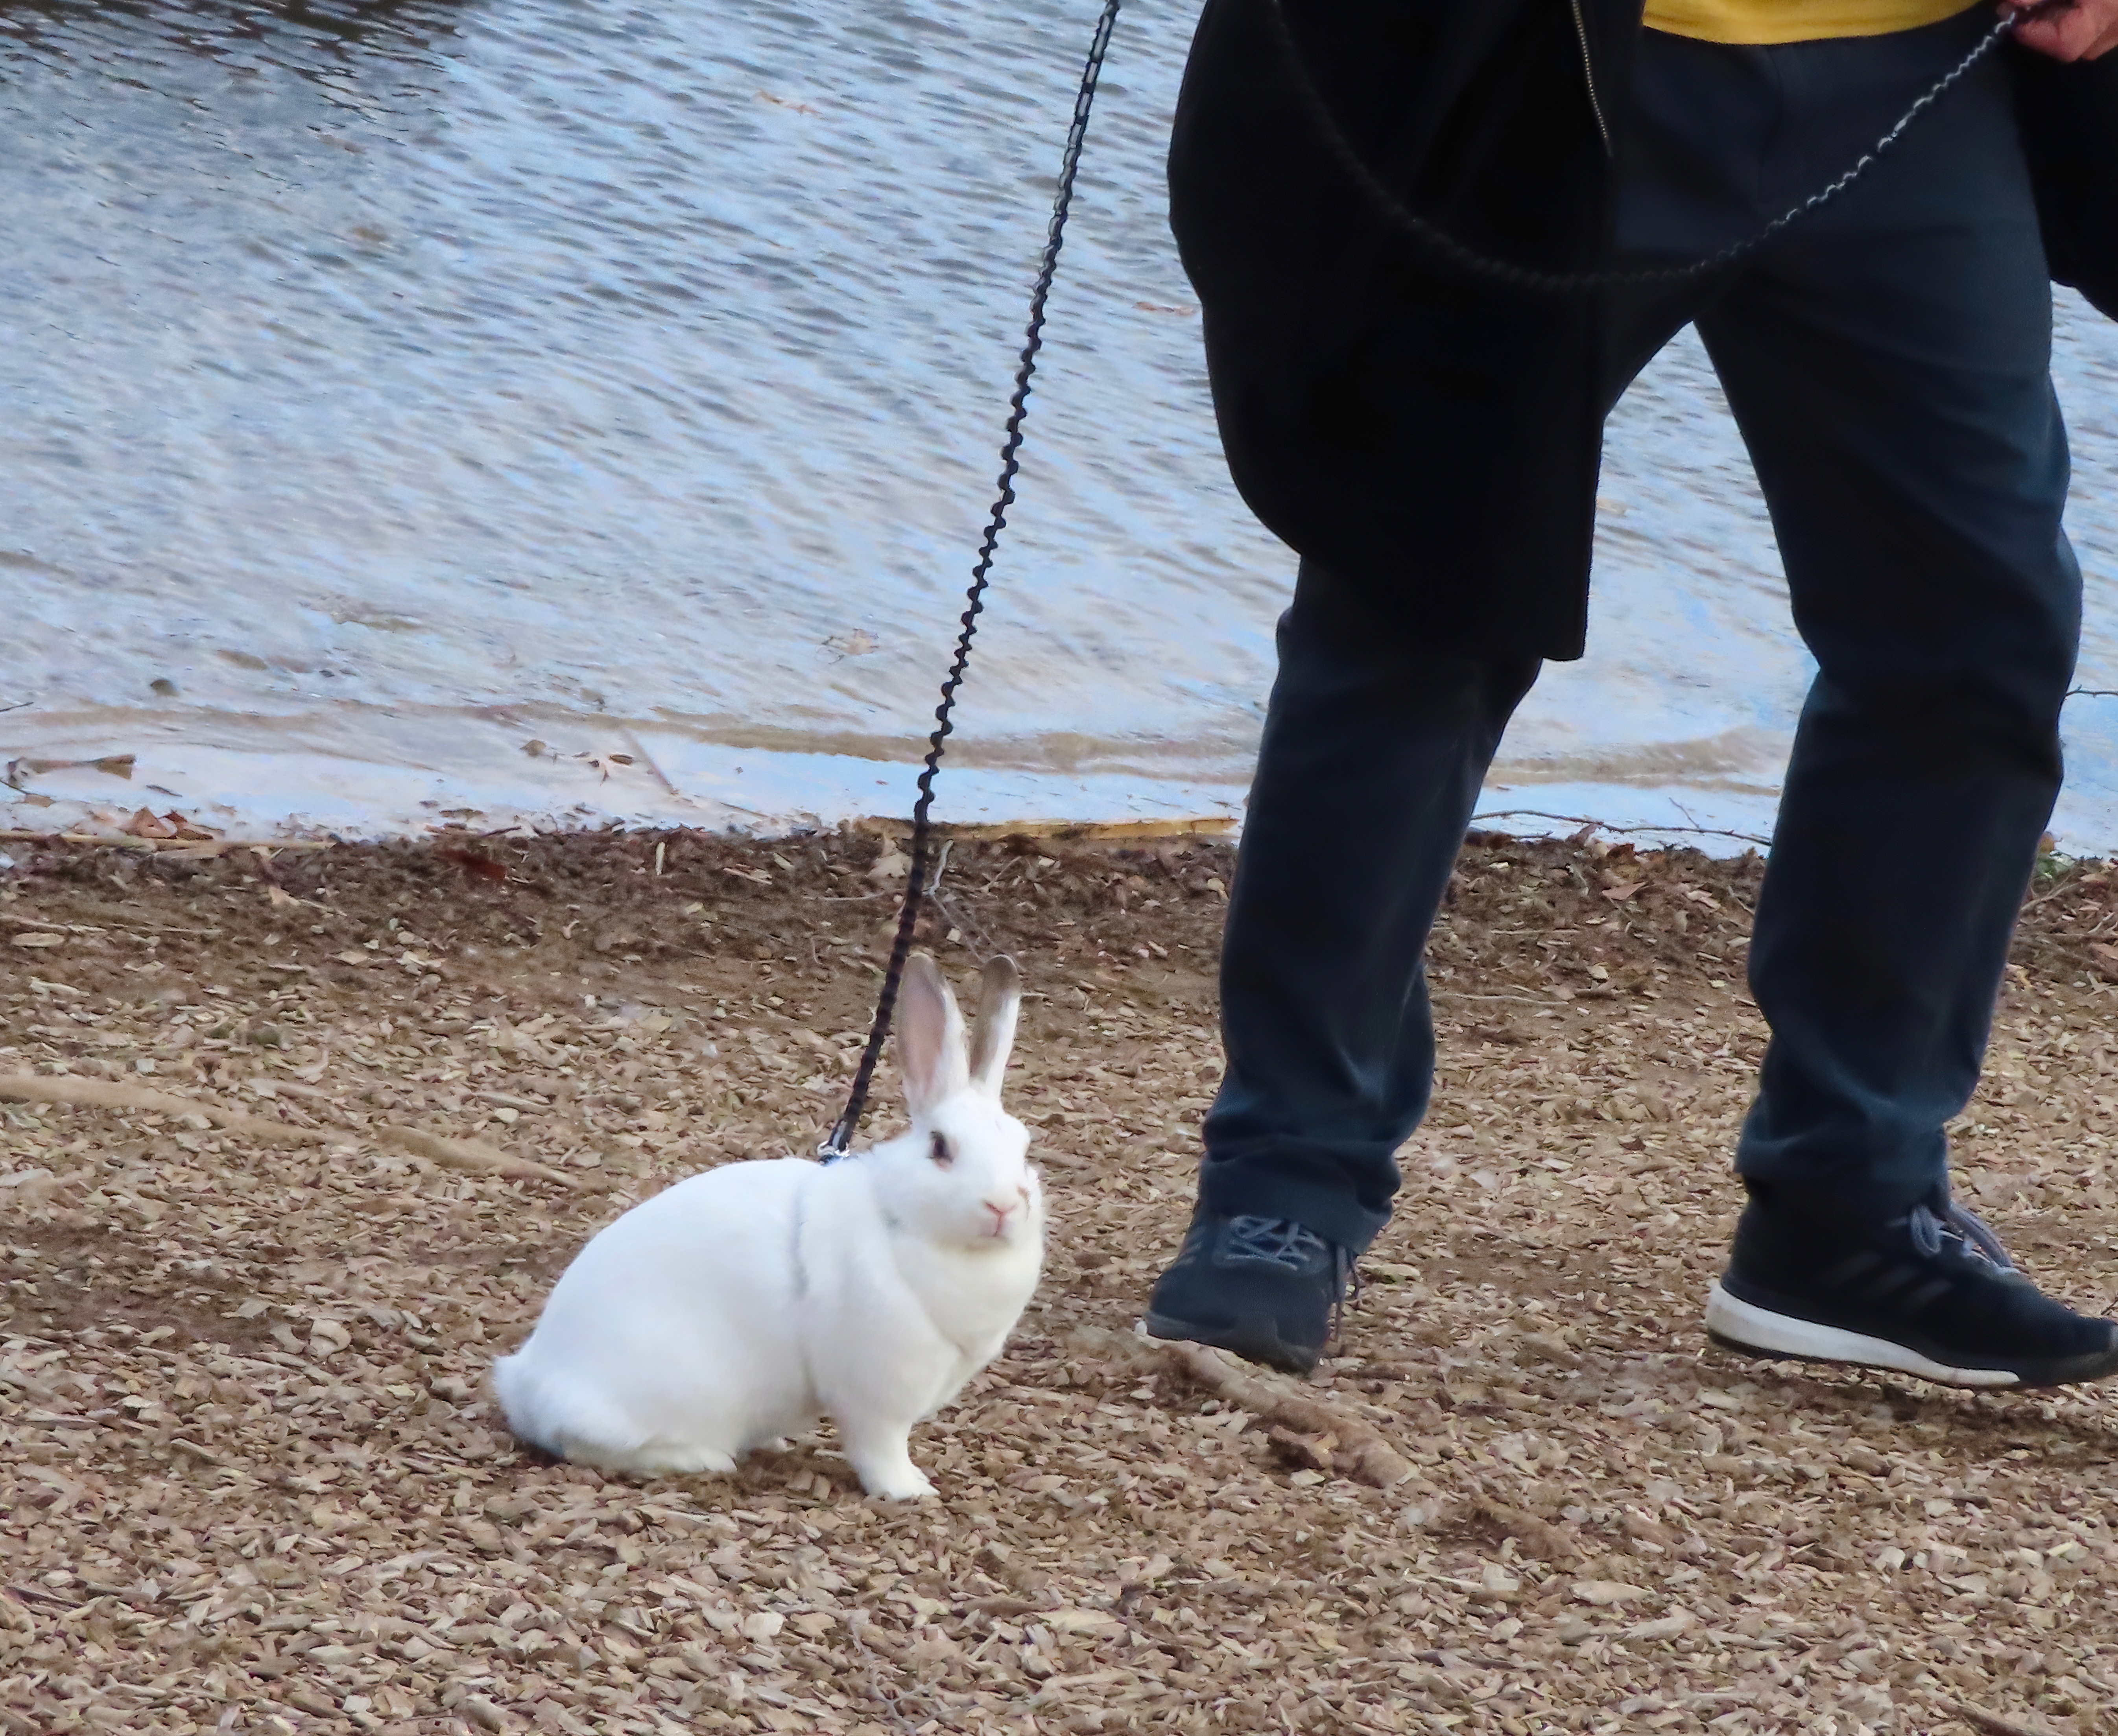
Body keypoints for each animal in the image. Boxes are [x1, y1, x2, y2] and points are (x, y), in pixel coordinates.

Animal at [491, 951, 1042, 1501]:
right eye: (940, 1148)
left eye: (1024, 1149)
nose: (1003, 1206)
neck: (902, 1222)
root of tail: (525, 1385)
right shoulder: (876, 1398)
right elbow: (882, 1450)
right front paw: (911, 1491)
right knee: (590, 1445)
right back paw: (704, 1458)